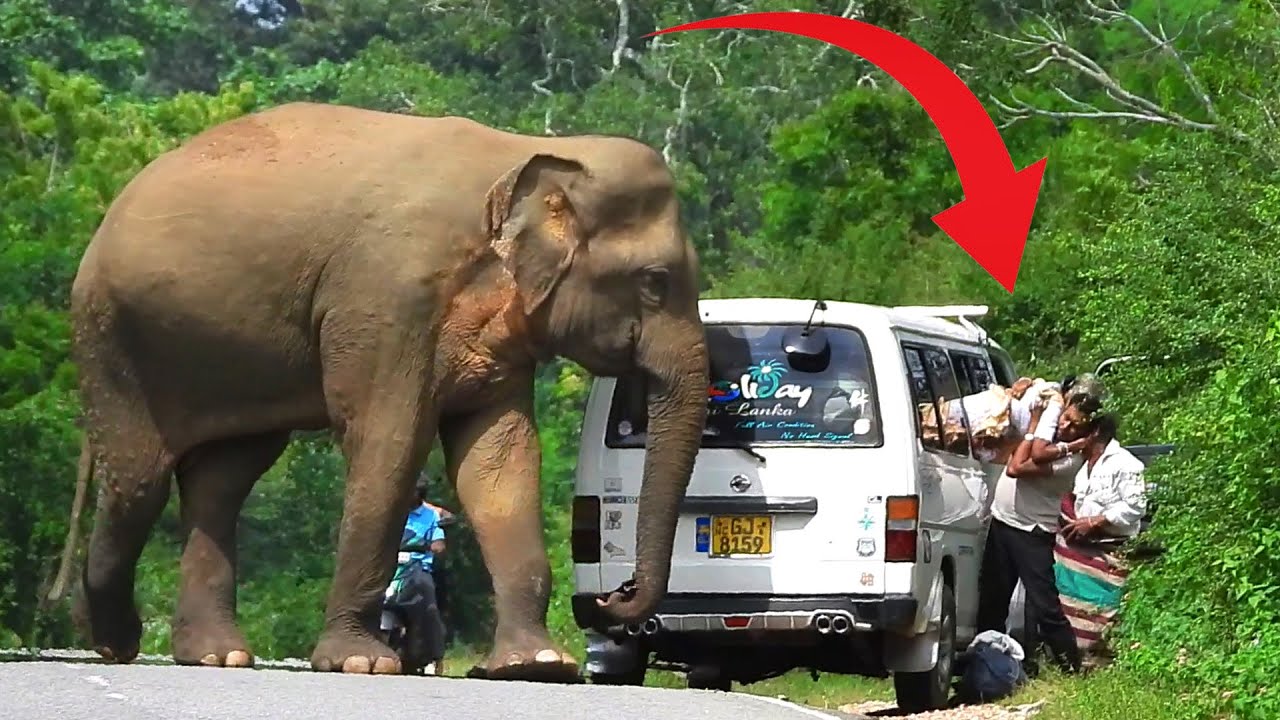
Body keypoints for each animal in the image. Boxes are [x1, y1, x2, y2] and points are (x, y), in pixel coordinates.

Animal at [46, 101, 709, 682]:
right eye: (655, 282)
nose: (614, 597)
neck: (526, 153)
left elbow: (500, 460)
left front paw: (537, 667)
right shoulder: (388, 301)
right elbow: (389, 442)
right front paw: (360, 664)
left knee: (222, 478)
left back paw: (213, 655)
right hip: (114, 338)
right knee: (141, 480)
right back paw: (116, 641)